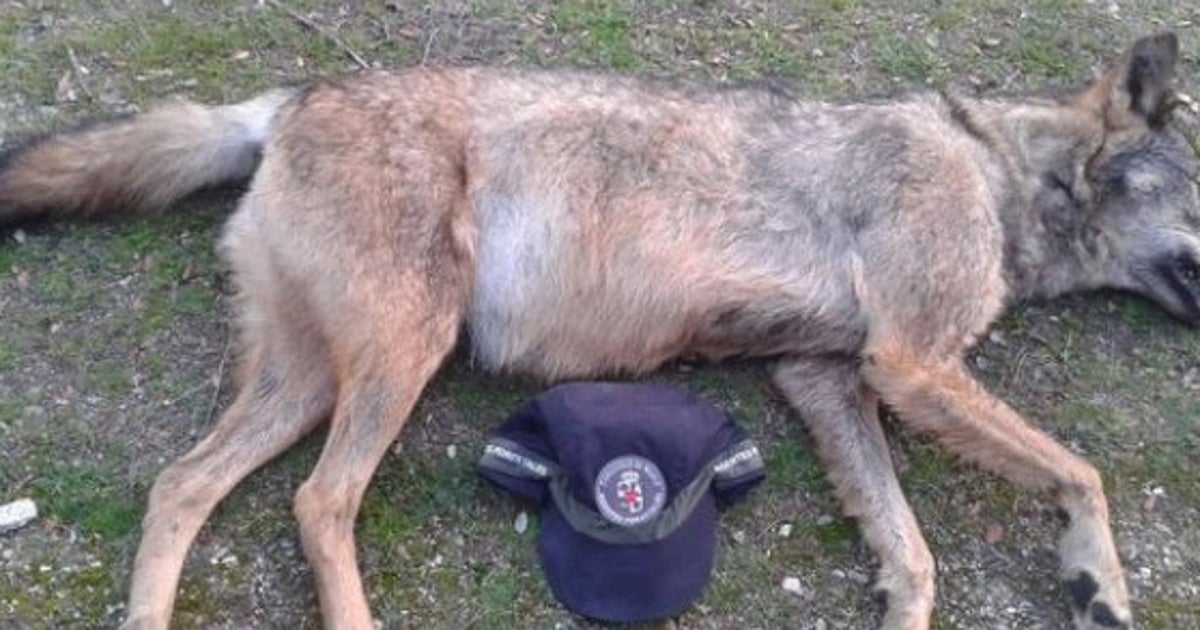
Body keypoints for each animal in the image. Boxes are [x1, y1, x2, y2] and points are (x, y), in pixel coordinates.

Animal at [0, 30, 1195, 630]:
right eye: (1198, 186)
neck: (994, 166)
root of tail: (290, 98)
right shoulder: (912, 363)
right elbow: (1080, 471)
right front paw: (1101, 579)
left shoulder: (826, 378)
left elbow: (912, 553)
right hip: (402, 354)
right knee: (319, 502)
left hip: (308, 381)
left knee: (183, 485)